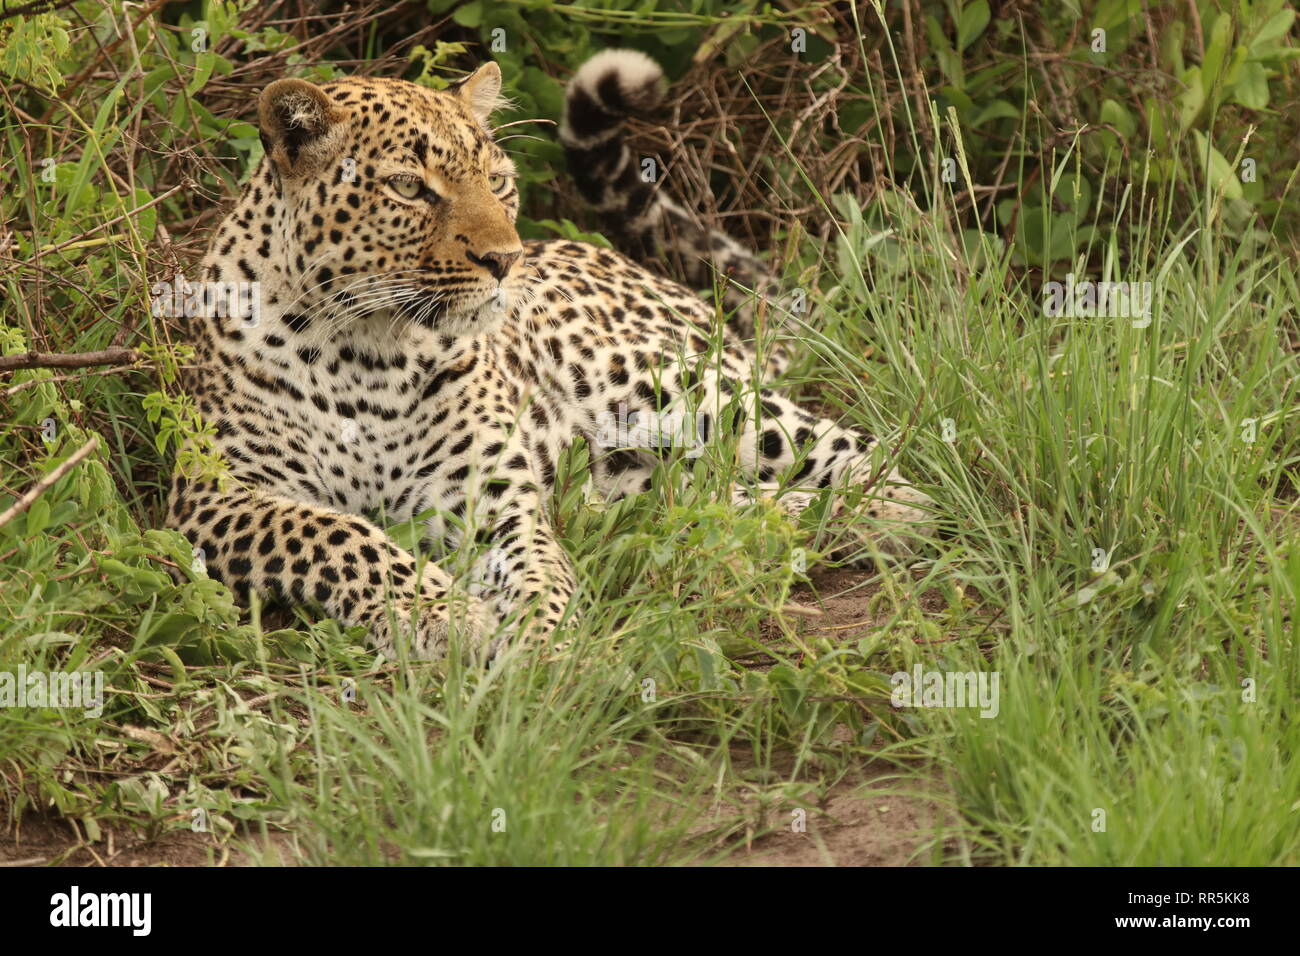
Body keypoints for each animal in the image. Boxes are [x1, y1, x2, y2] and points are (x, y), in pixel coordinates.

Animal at [164, 49, 932, 661]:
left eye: (499, 181)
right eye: (409, 188)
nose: (506, 260)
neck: (371, 352)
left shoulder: (497, 501)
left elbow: (539, 572)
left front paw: (541, 642)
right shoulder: (218, 493)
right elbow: (340, 535)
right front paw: (449, 617)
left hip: (677, 386)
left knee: (849, 449)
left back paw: (899, 514)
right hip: (632, 481)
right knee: (710, 496)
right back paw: (813, 518)